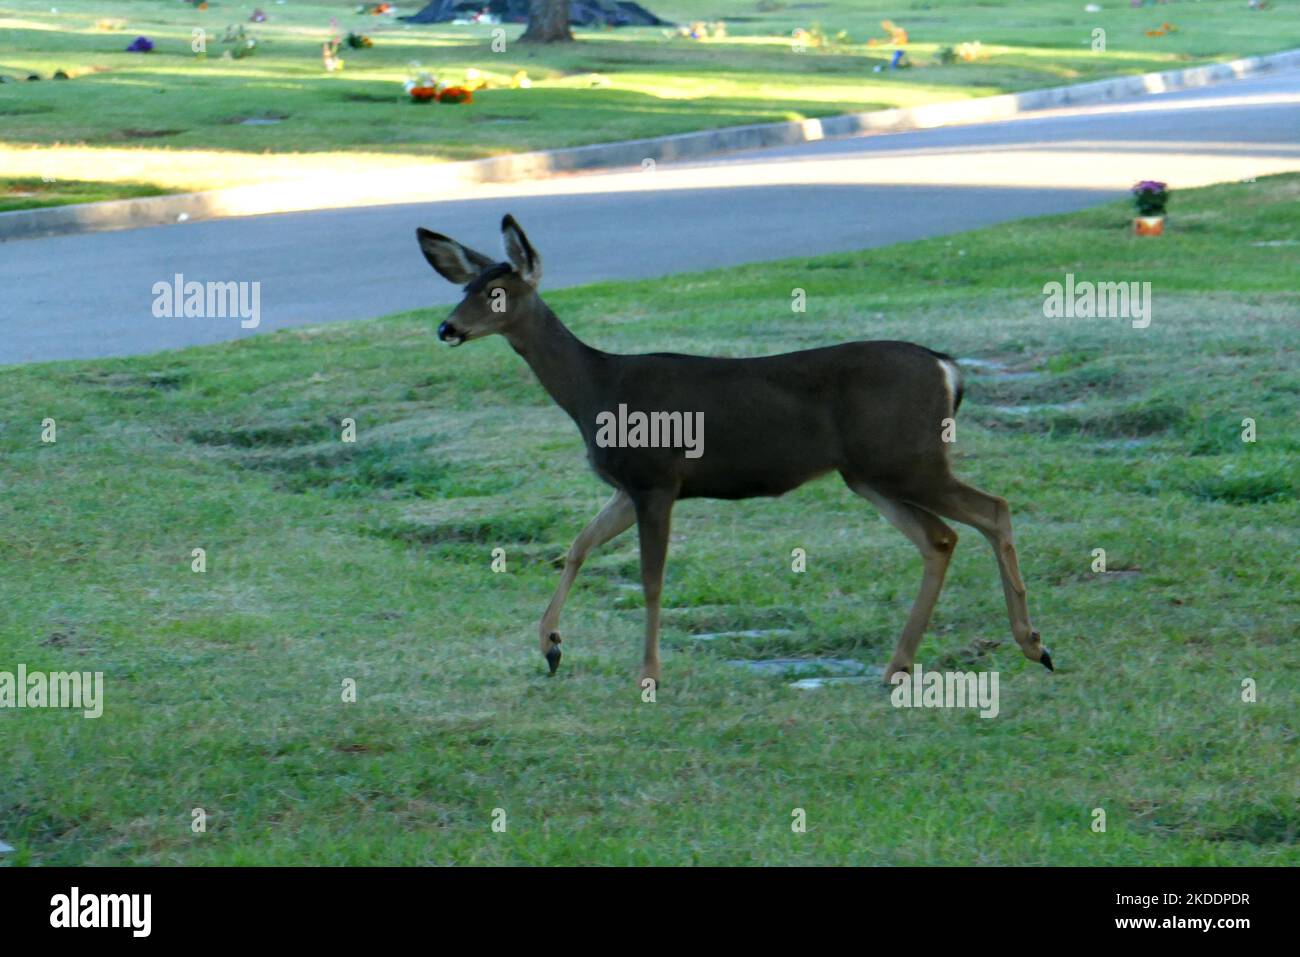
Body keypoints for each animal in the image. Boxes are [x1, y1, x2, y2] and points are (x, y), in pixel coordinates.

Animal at [416, 215, 1053, 691]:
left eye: (497, 293)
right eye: (464, 289)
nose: (446, 328)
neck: (595, 388)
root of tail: (948, 368)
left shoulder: (658, 480)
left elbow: (651, 579)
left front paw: (647, 673)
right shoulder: (628, 486)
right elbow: (576, 547)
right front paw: (550, 646)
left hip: (908, 459)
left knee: (992, 509)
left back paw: (1032, 644)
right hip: (871, 472)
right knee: (940, 537)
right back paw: (900, 666)